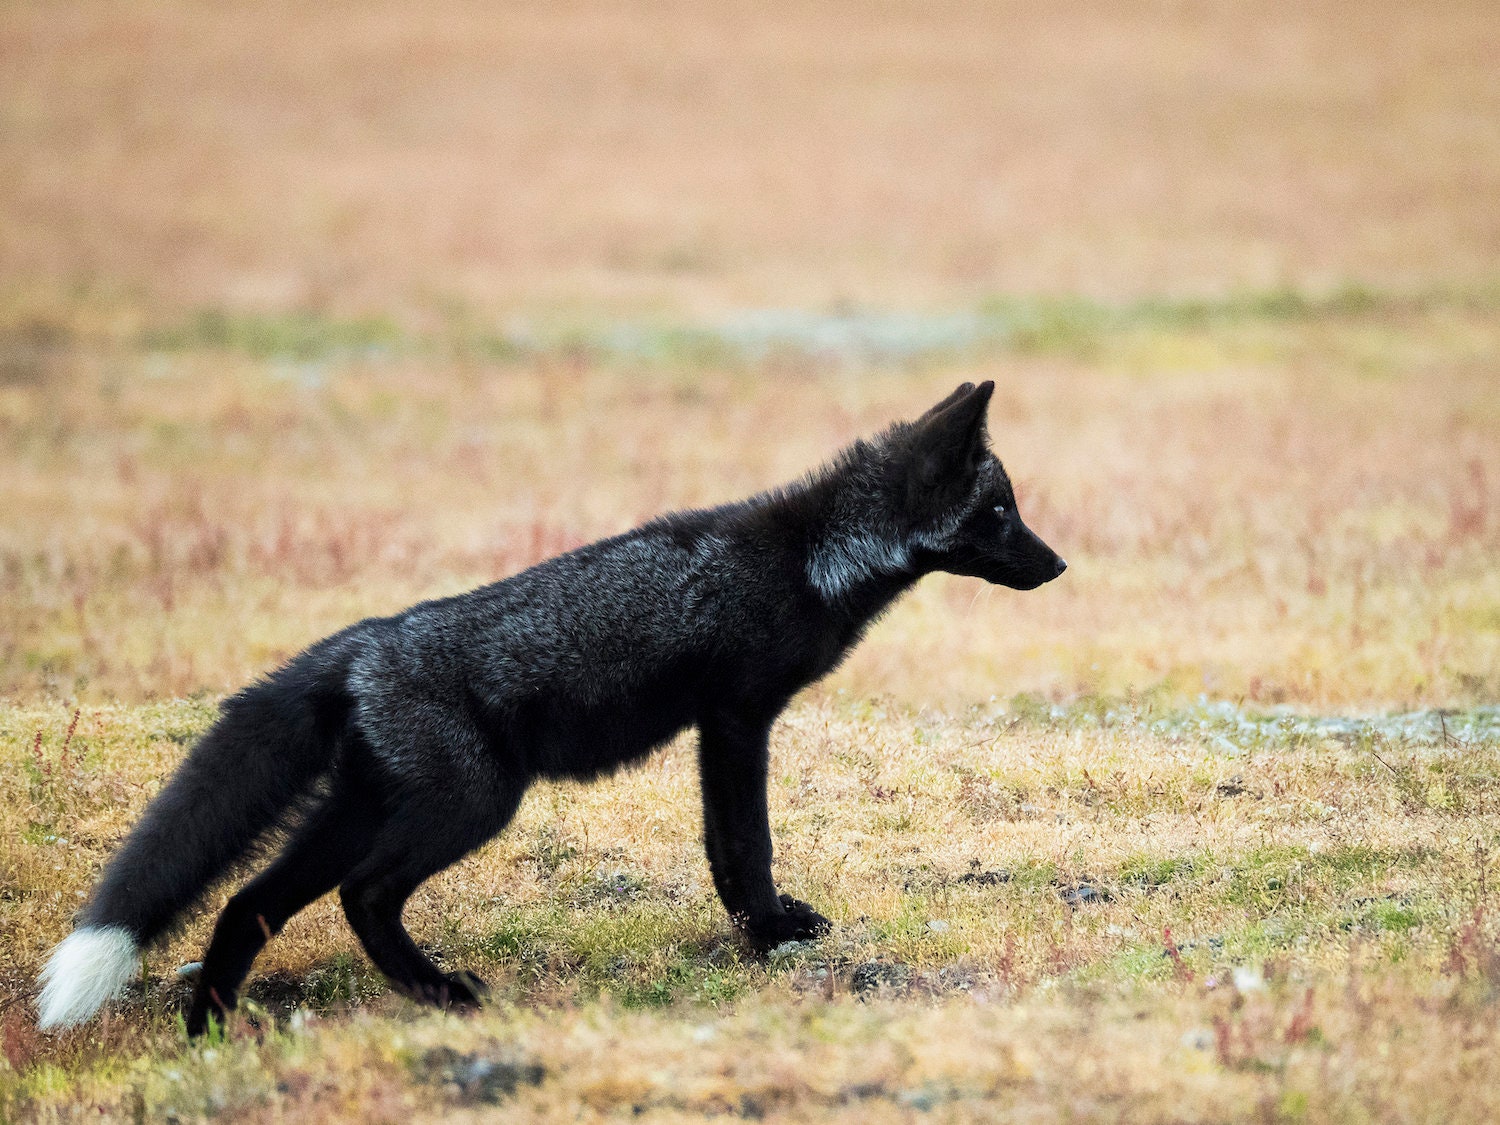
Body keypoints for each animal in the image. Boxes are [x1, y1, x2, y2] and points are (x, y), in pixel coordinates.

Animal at [35, 384, 1068, 1038]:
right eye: (1003, 512)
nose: (1060, 566)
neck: (813, 555)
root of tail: (362, 643)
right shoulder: (738, 719)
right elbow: (746, 845)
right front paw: (768, 935)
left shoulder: (719, 728)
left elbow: (726, 846)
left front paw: (759, 933)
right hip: (470, 804)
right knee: (361, 894)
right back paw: (440, 993)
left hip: (360, 811)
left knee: (248, 903)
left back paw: (209, 1029)